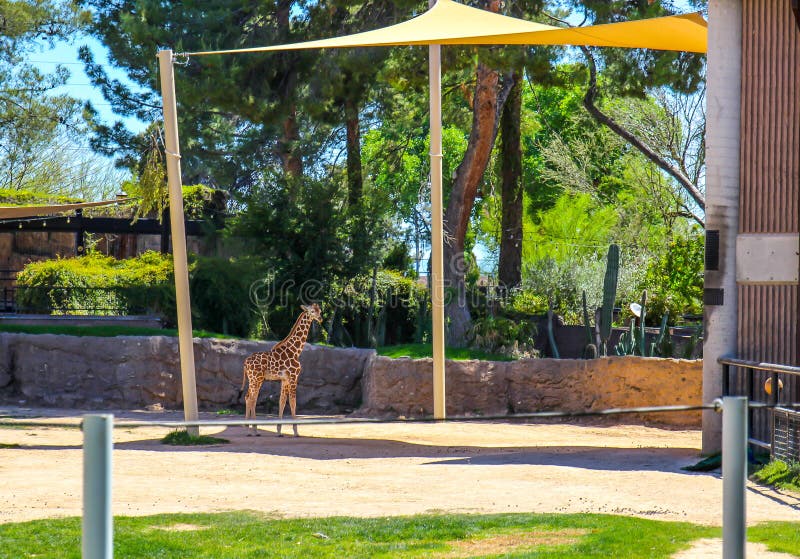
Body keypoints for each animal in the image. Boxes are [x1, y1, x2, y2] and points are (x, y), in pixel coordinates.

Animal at [241, 303, 323, 437]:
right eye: (312, 311)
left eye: (319, 311)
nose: (320, 319)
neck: (295, 351)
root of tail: (245, 363)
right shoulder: (294, 377)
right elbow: (293, 402)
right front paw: (296, 432)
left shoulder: (285, 379)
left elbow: (282, 401)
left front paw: (279, 431)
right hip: (256, 378)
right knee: (251, 398)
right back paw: (252, 430)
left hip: (254, 379)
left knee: (249, 397)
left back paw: (250, 428)